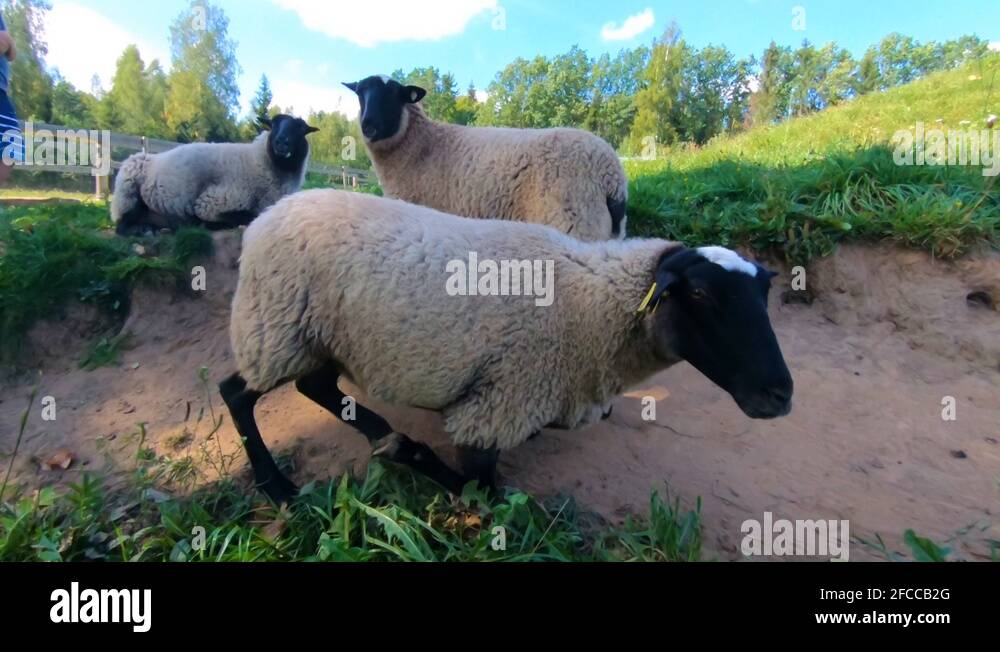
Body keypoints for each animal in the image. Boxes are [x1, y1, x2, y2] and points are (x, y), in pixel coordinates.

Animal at [111, 114, 319, 236]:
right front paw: (204, 225)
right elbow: (248, 216)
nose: (281, 141)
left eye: (300, 129)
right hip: (127, 195)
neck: (260, 159)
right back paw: (145, 230)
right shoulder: (211, 202)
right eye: (273, 125)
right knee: (122, 226)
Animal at [219, 189, 793, 503]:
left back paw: (376, 432)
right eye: (698, 294)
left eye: (765, 292)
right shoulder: (497, 403)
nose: (780, 395)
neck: (588, 305)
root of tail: (267, 214)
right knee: (237, 392)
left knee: (313, 384)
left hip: (313, 335)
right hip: (274, 327)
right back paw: (279, 486)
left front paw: (402, 447)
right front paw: (413, 454)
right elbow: (483, 493)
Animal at [342, 75, 629, 242]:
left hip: (575, 223)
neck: (420, 145)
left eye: (394, 94)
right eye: (360, 94)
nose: (368, 126)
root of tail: (612, 176)